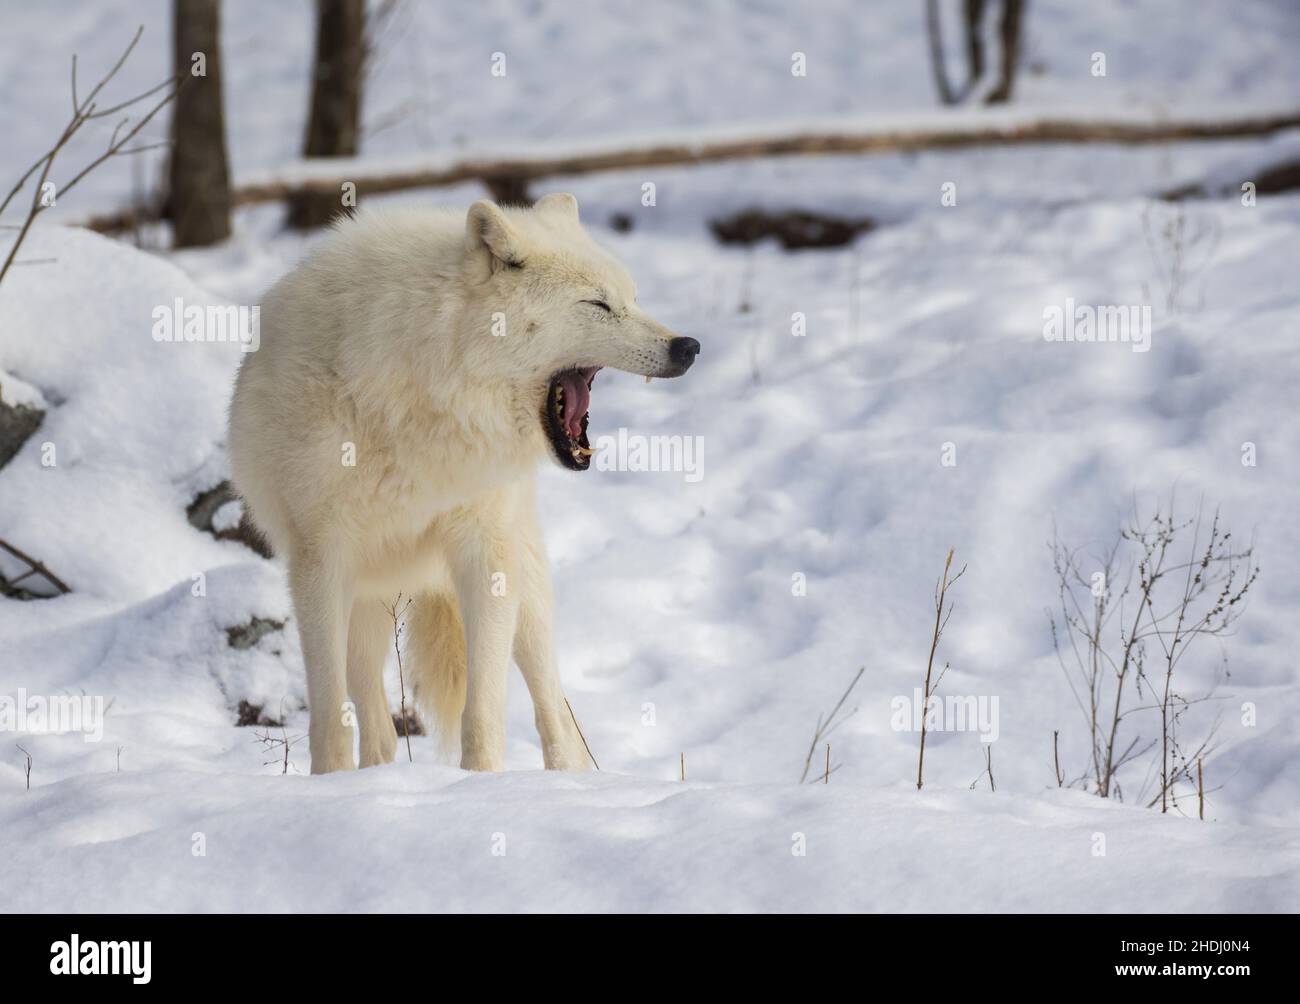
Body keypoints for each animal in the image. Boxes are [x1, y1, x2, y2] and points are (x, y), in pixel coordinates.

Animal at [228, 193, 699, 773]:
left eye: (631, 298)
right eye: (598, 305)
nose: (688, 346)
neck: (426, 387)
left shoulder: (485, 550)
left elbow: (484, 708)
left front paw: (481, 780)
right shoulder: (319, 561)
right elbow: (331, 718)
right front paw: (330, 782)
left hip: (526, 588)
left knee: (553, 710)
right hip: (366, 603)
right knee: (376, 721)